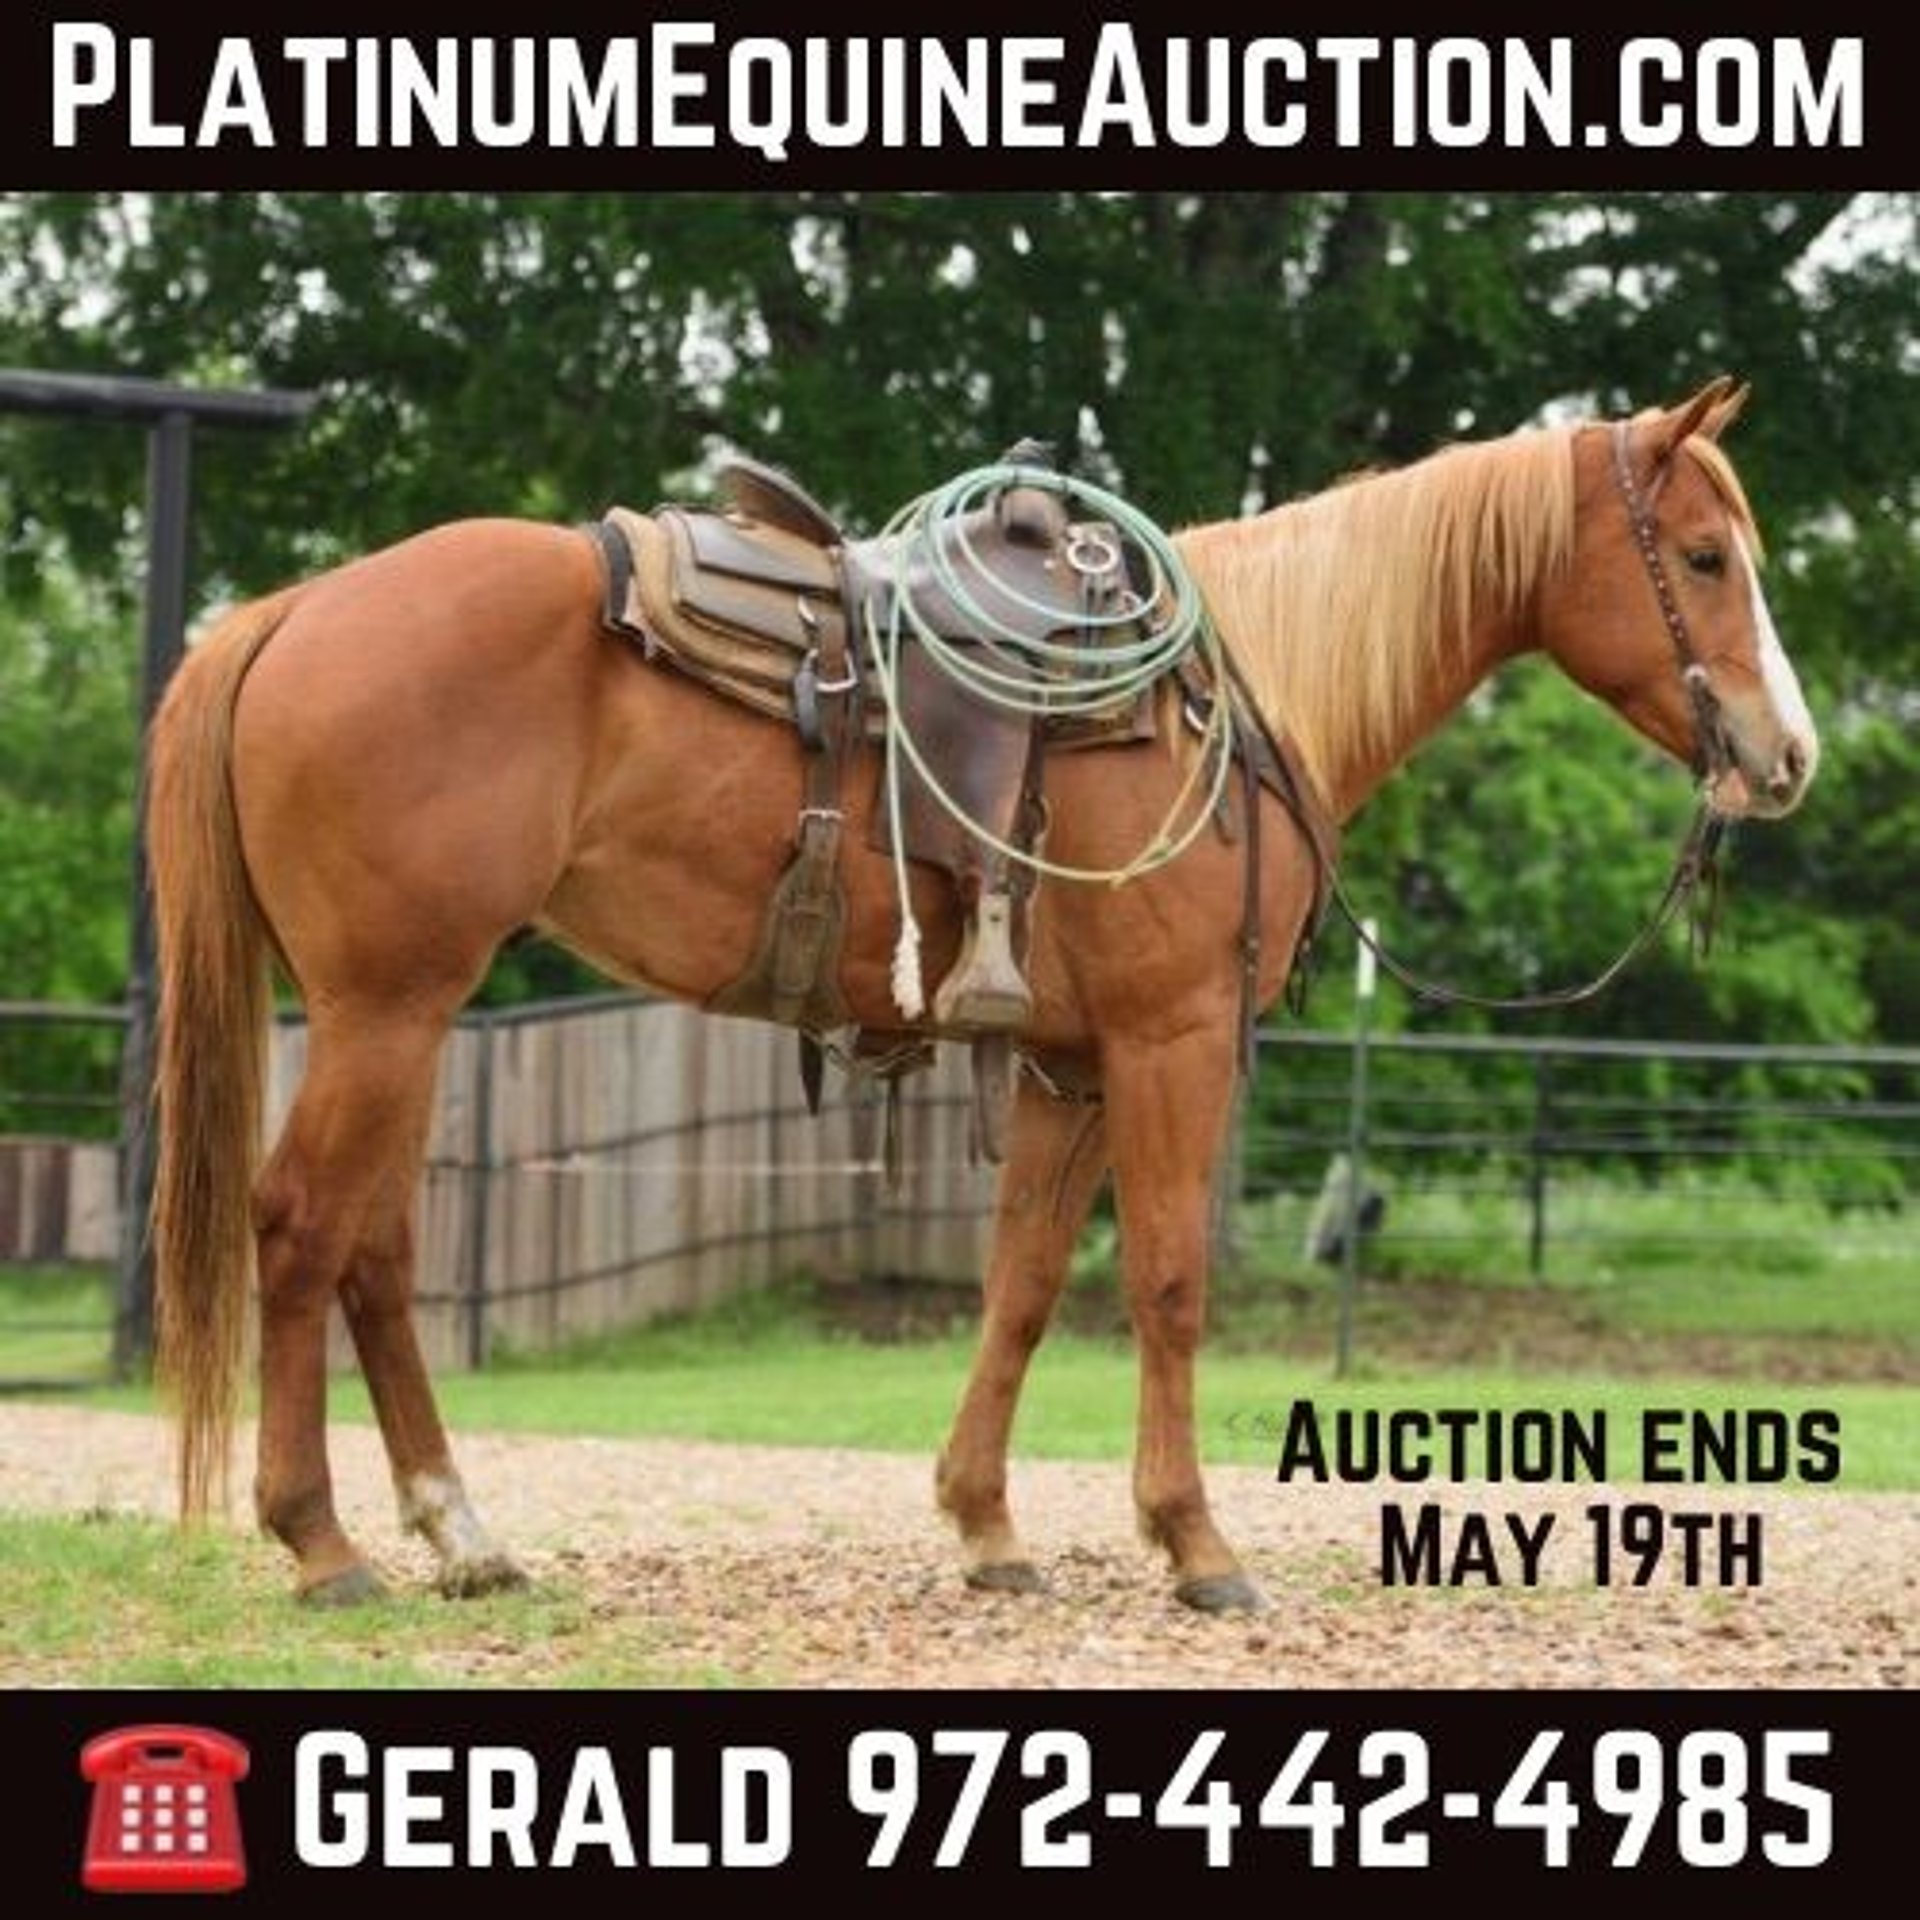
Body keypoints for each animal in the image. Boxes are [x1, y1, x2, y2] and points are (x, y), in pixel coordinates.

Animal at [147, 376, 1817, 1613]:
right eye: (1706, 556)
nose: (1787, 753)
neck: (1237, 700)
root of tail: (288, 613)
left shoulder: (1066, 1065)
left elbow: (1021, 1285)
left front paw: (987, 1527)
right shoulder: (1170, 1043)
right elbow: (1167, 1282)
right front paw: (1198, 1547)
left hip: (405, 1011)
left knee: (374, 1249)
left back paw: (463, 1532)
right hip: (387, 1005)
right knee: (301, 1226)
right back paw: (324, 1545)